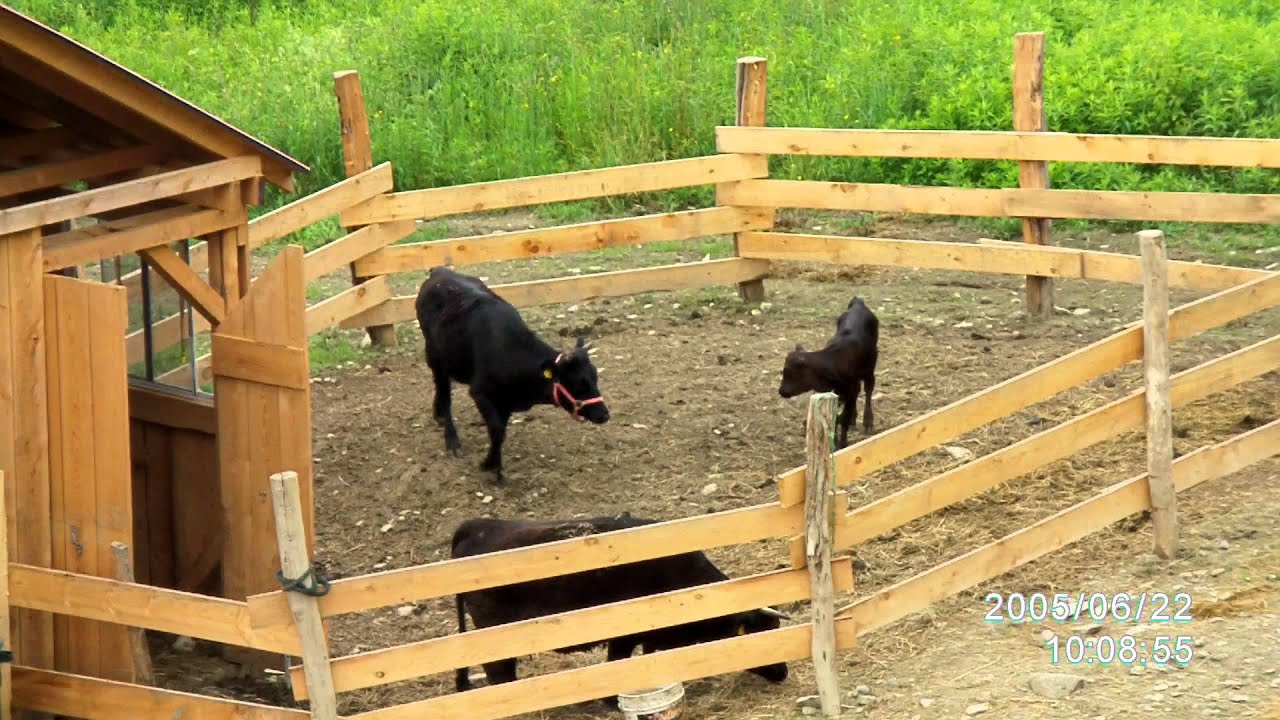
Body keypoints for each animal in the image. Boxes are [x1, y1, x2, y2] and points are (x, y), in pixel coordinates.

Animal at [415, 266, 609, 482]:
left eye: (595, 378)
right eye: (579, 384)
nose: (604, 414)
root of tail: (440, 271)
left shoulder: (506, 400)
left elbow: (500, 432)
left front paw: (495, 466)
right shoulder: (480, 392)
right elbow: (497, 430)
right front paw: (490, 465)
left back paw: (438, 415)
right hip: (434, 356)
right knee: (444, 392)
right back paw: (452, 439)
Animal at [451, 514, 791, 702]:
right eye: (762, 633)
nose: (783, 673)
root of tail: (478, 525)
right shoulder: (624, 635)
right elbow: (618, 662)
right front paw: (611, 701)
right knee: (499, 673)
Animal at [778, 296, 879, 448]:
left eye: (791, 373)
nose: (781, 391)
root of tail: (858, 304)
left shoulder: (851, 388)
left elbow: (843, 418)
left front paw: (842, 443)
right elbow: (835, 418)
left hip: (870, 366)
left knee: (868, 389)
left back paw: (867, 421)